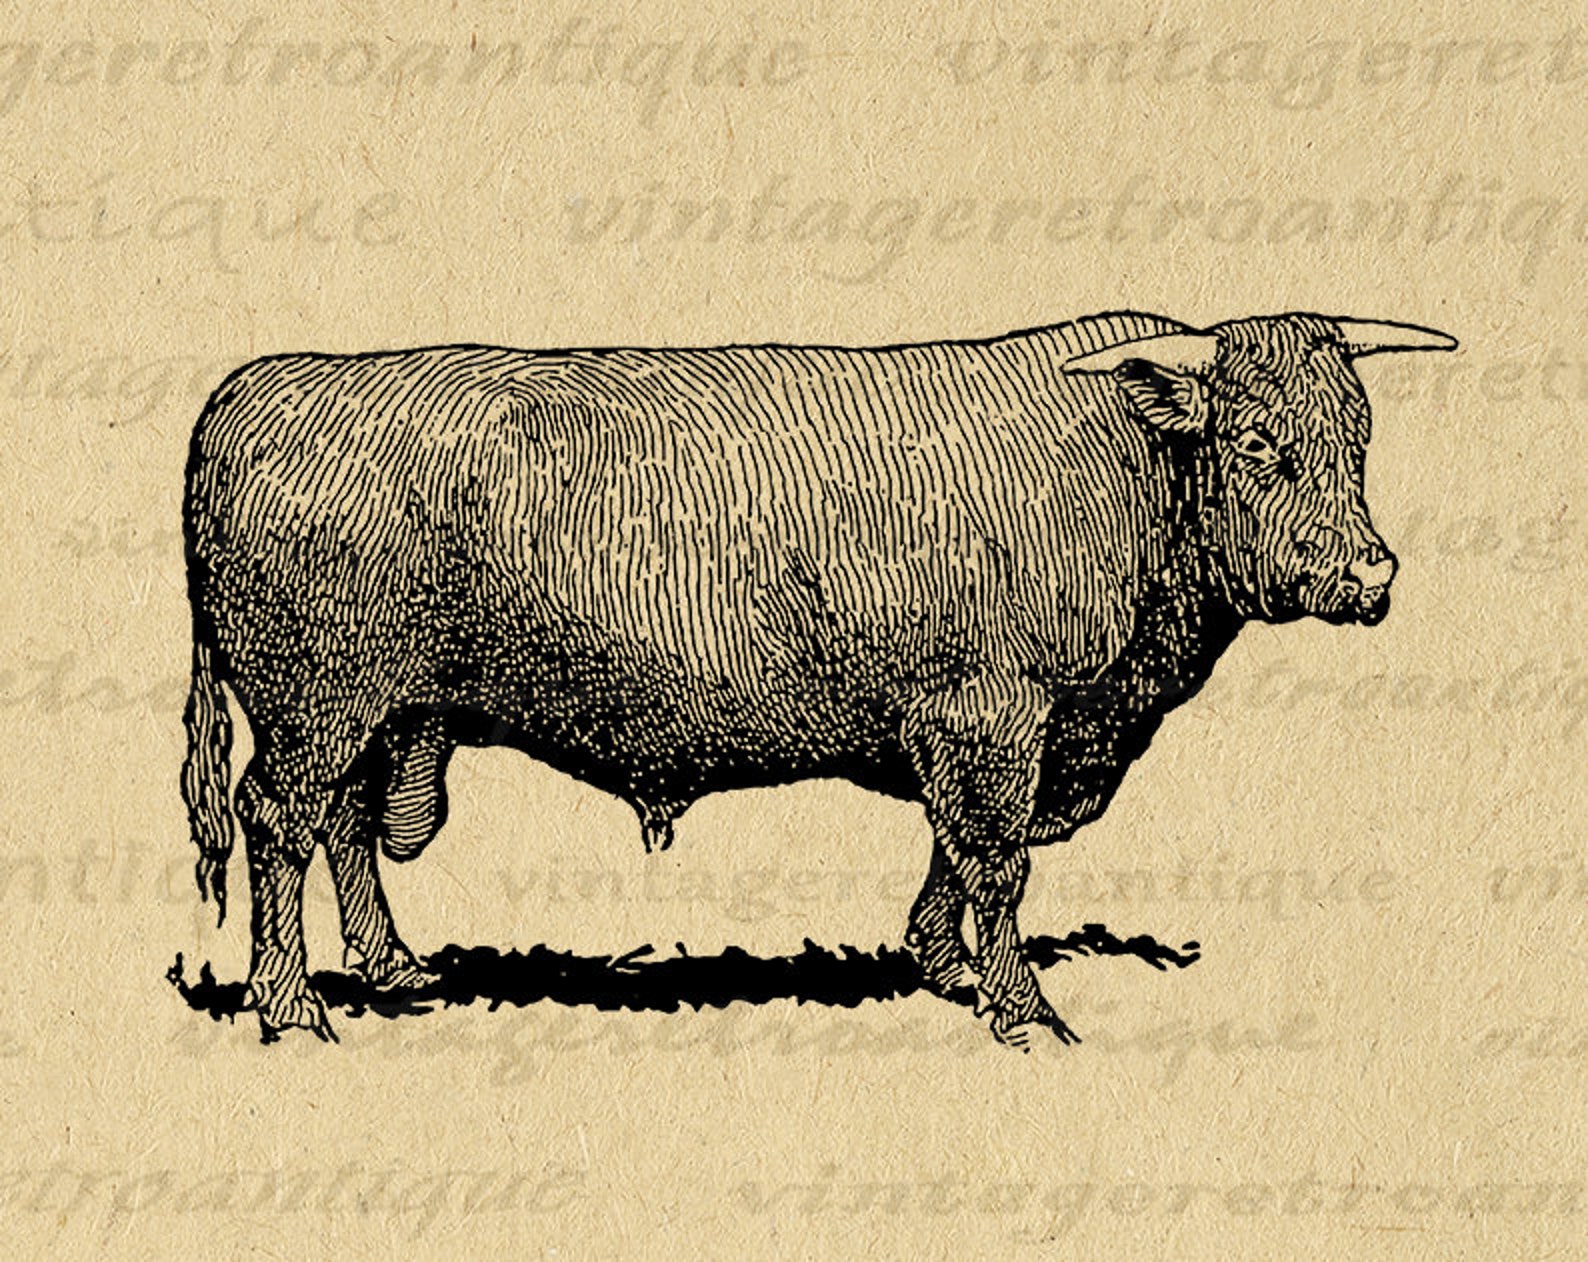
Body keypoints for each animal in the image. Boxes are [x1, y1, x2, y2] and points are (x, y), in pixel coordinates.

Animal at [179, 310, 1456, 1046]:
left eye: (1357, 437)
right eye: (1256, 442)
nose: (1370, 570)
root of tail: (247, 392)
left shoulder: (978, 728)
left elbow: (953, 853)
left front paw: (942, 964)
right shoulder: (994, 718)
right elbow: (997, 862)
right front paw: (1024, 1012)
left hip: (379, 712)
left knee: (342, 824)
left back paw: (394, 969)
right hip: (317, 705)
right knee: (277, 819)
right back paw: (292, 1005)